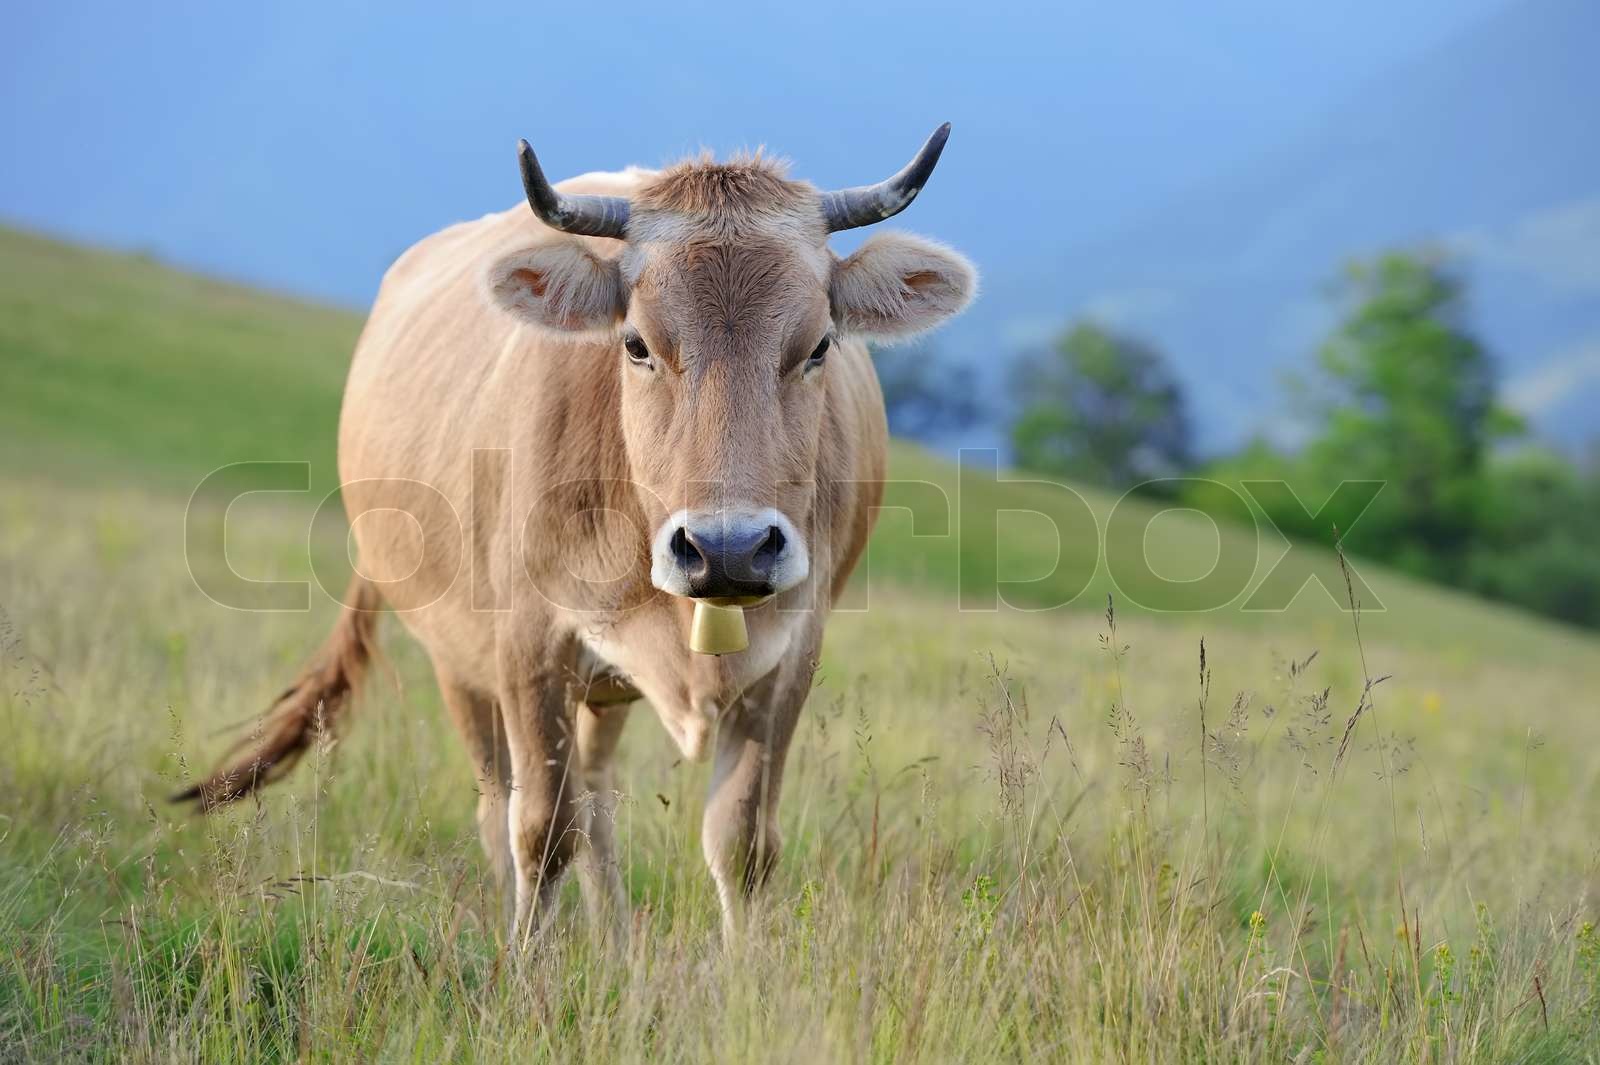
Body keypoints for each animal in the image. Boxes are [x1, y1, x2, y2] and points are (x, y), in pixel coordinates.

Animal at [180, 125, 977, 943]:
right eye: (637, 344)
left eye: (818, 345)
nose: (727, 549)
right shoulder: (530, 647)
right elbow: (540, 831)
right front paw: (527, 968)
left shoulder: (790, 656)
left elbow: (741, 841)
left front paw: (744, 975)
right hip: (458, 657)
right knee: (500, 804)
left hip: (601, 688)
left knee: (596, 799)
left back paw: (615, 945)